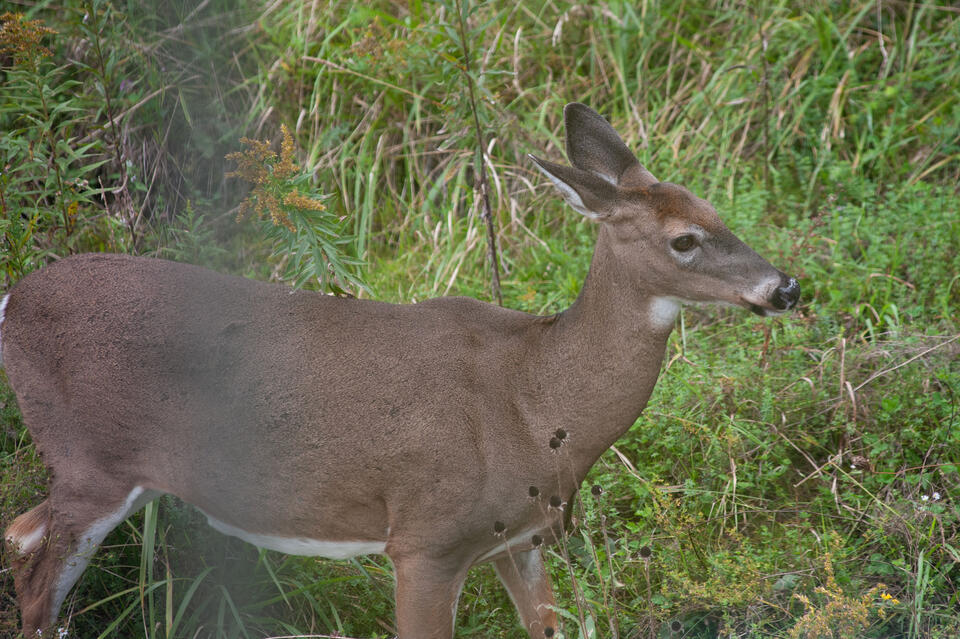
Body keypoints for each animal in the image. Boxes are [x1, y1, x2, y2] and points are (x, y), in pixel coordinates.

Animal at [1, 103, 799, 638]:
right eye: (685, 239)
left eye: (717, 210)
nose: (786, 287)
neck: (535, 400)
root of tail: (13, 298)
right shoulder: (426, 537)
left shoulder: (522, 536)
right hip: (91, 459)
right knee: (38, 580)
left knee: (20, 532)